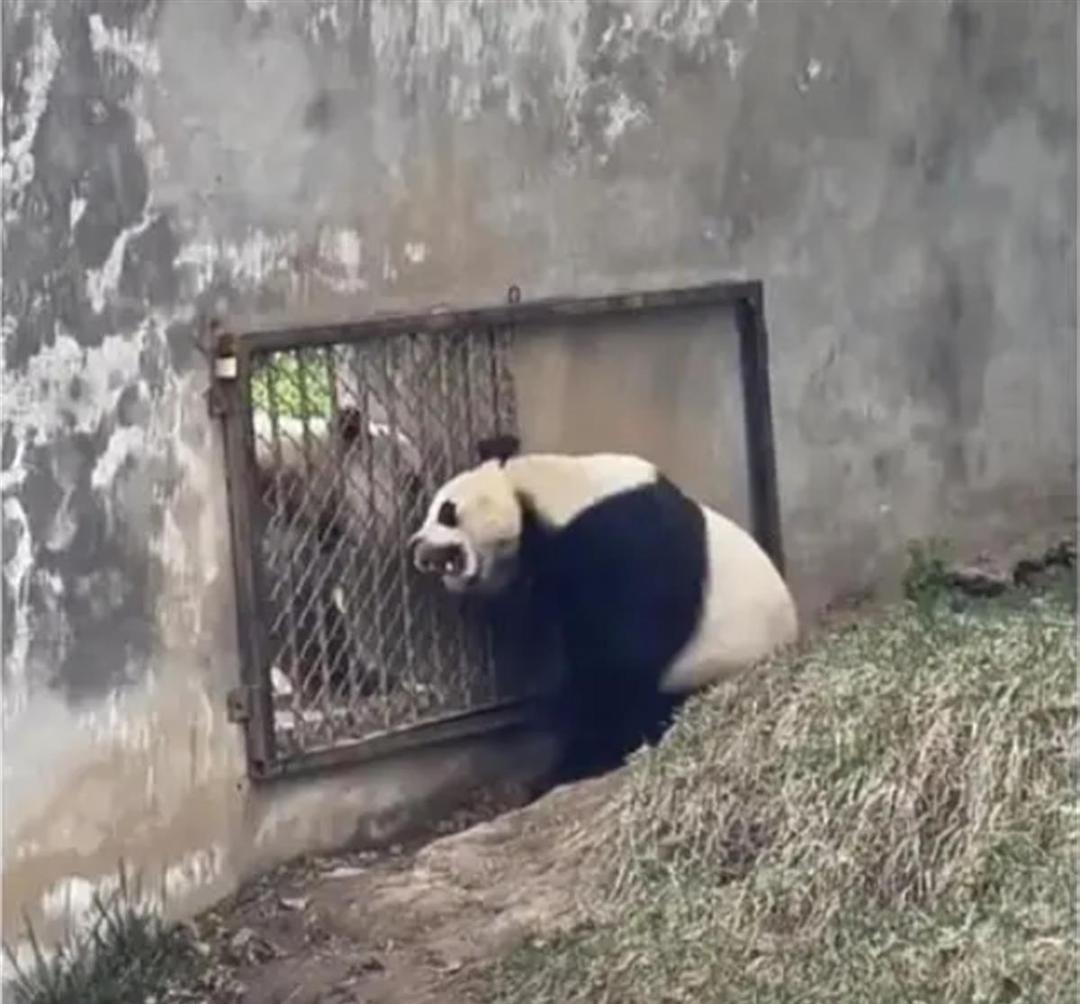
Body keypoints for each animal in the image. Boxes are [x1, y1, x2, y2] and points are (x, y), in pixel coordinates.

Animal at [408, 434, 799, 781]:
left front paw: (575, 759)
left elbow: (624, 650)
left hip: (712, 666)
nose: (415, 544)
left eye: (446, 512)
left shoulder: (623, 535)